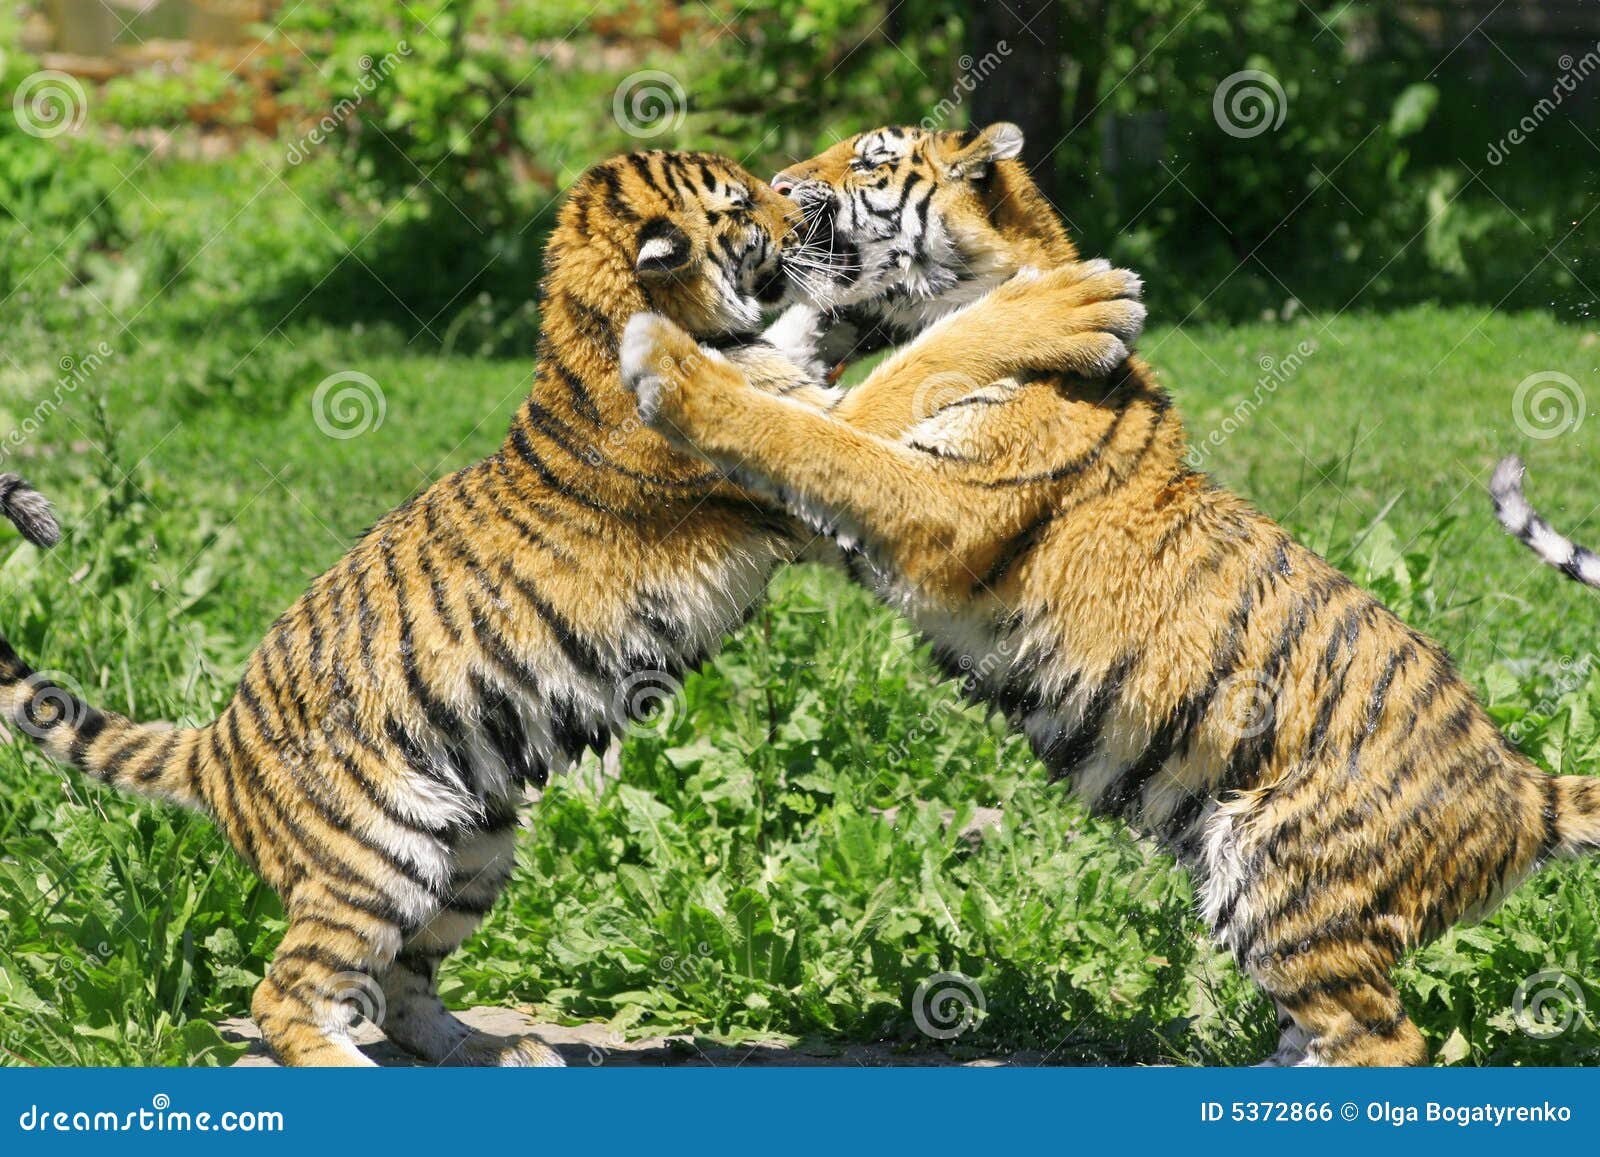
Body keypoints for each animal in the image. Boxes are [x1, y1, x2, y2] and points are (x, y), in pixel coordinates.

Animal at [0, 148, 1147, 1067]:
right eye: (741, 203)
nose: (801, 206)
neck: (607, 322)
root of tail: (218, 741)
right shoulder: (806, 446)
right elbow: (918, 366)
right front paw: (1075, 303)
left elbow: (822, 330)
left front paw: (887, 288)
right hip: (373, 855)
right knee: (289, 995)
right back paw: (359, 1067)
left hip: (470, 847)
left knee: (400, 988)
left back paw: (499, 1049)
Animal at [619, 122, 1600, 1066]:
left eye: (869, 162)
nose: (780, 185)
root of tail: (1525, 788)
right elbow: (807, 437)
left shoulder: (938, 507)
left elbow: (807, 436)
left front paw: (670, 366)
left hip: (1285, 871)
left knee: (1382, 1041)